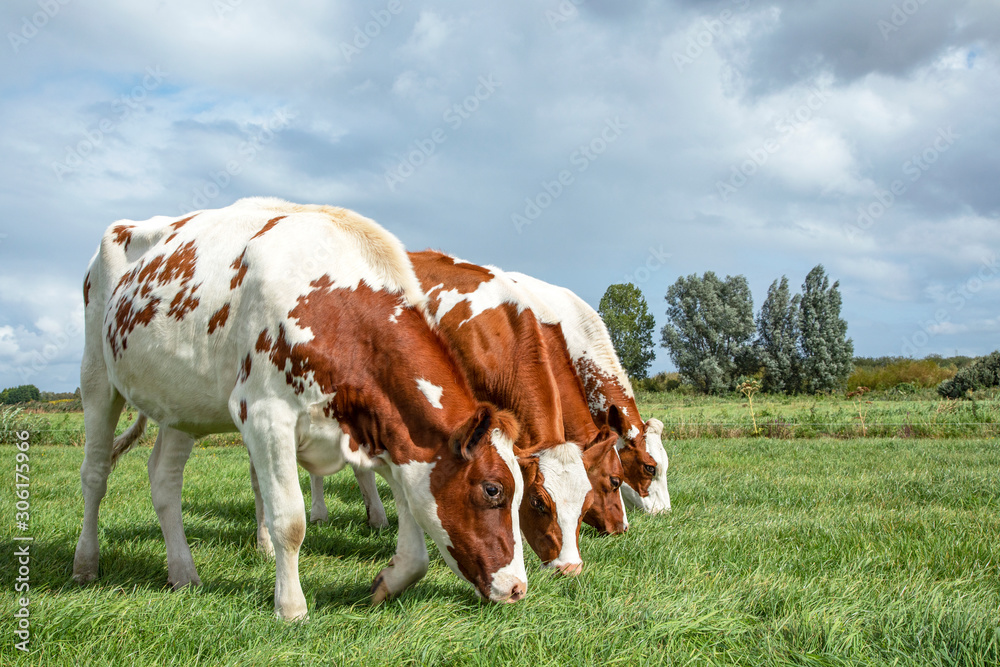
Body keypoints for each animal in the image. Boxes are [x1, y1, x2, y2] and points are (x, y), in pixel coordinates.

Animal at [72, 198, 527, 620]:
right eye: (492, 489)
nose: (518, 589)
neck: (335, 305)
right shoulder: (265, 415)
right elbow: (289, 521)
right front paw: (291, 608)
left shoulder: (381, 430)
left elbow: (414, 534)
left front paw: (388, 580)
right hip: (97, 376)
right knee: (95, 474)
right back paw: (85, 564)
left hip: (181, 404)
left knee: (164, 479)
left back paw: (183, 572)